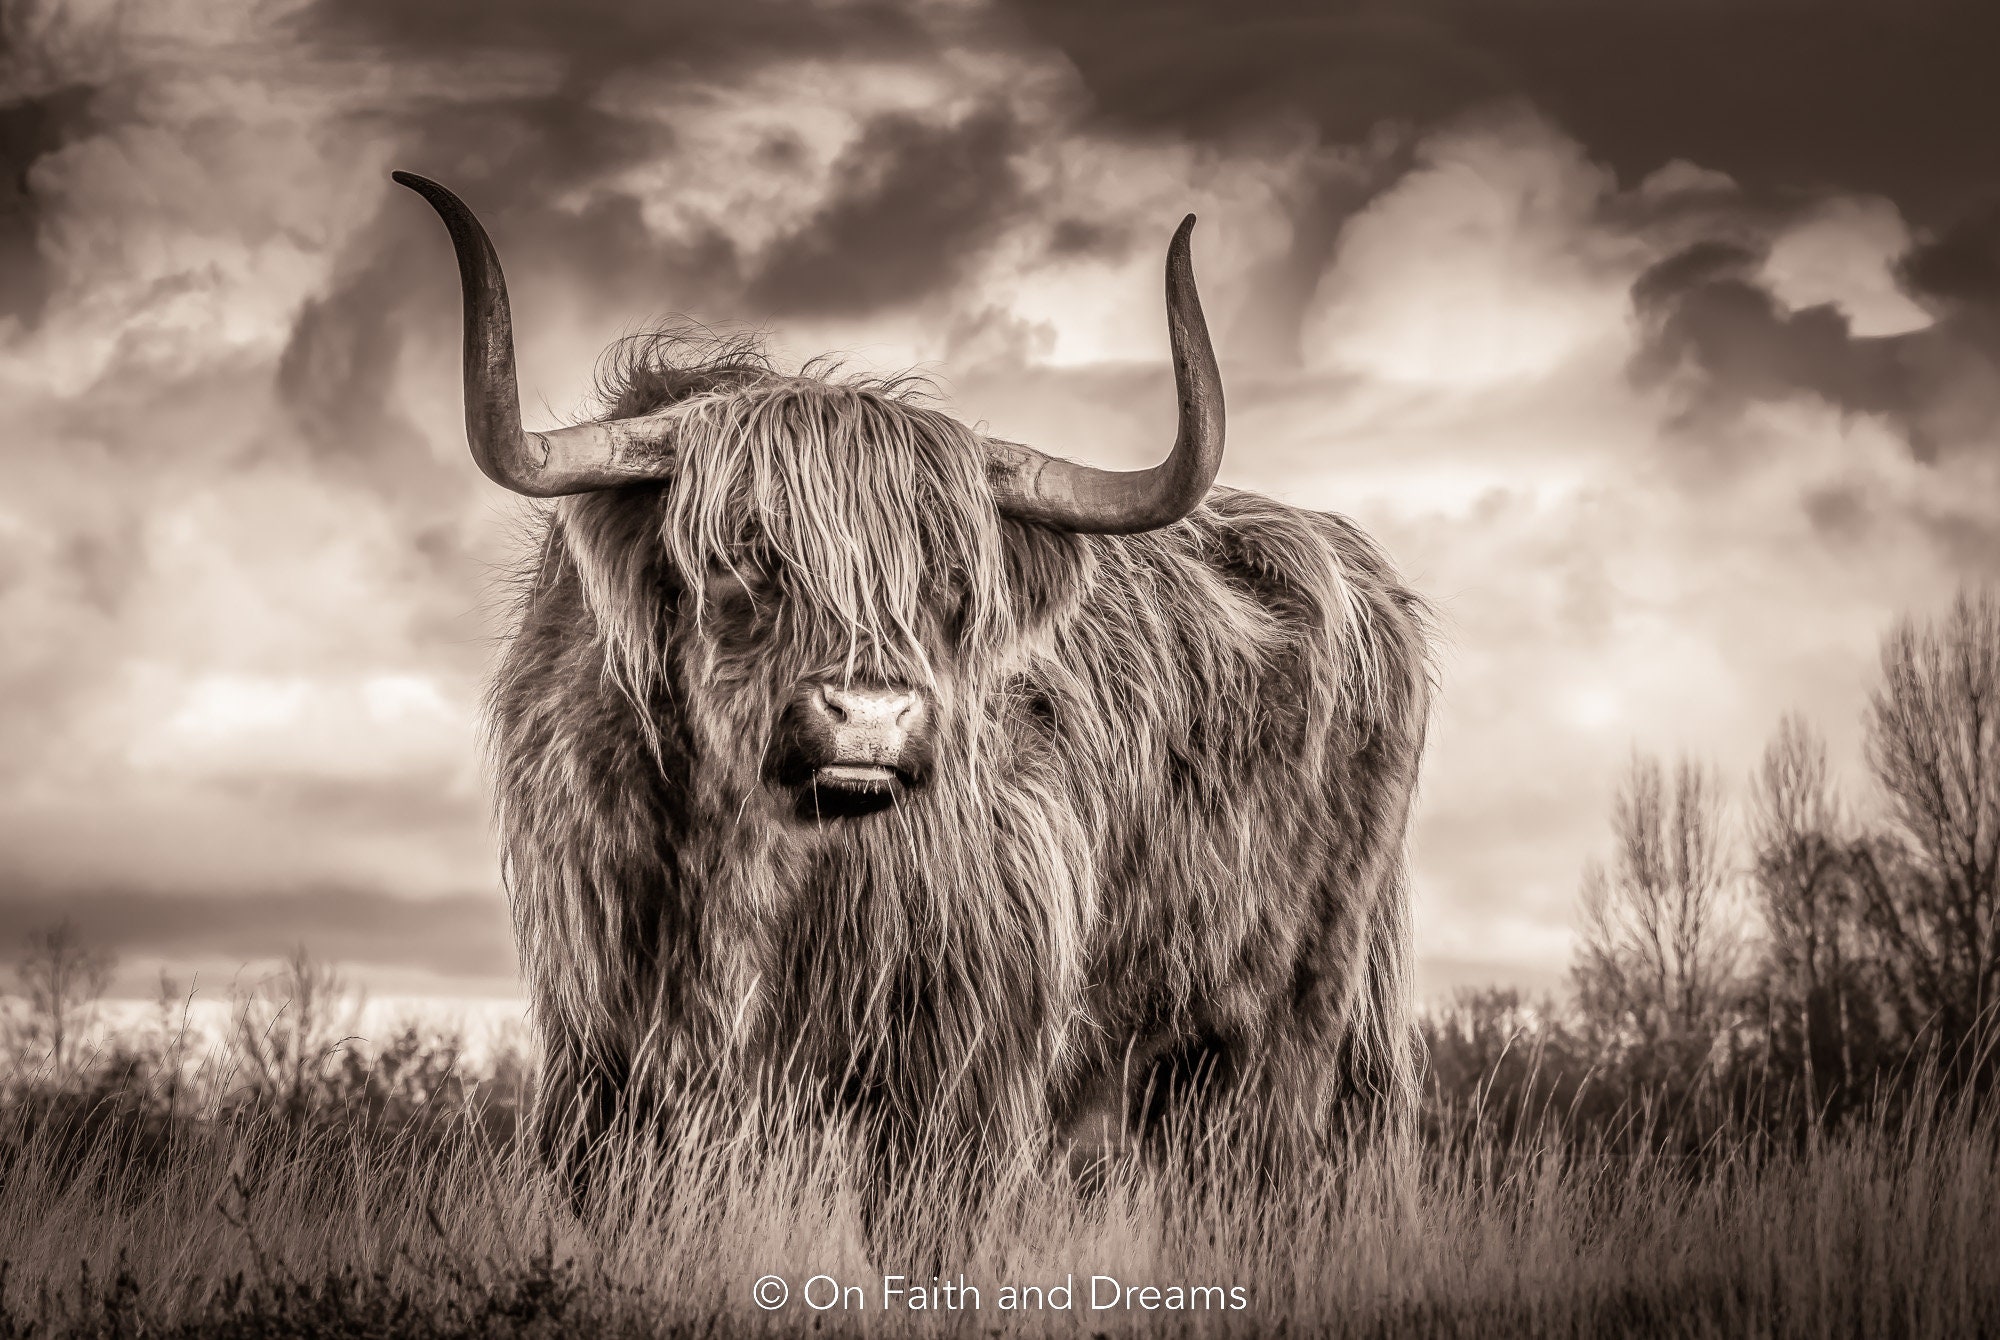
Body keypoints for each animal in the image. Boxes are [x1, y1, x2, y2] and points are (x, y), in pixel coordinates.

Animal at [395, 171, 1432, 1228]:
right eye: (743, 556)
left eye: (950, 580)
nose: (870, 717)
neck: (753, 862)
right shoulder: (602, 1052)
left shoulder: (961, 1062)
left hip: (1288, 1030)